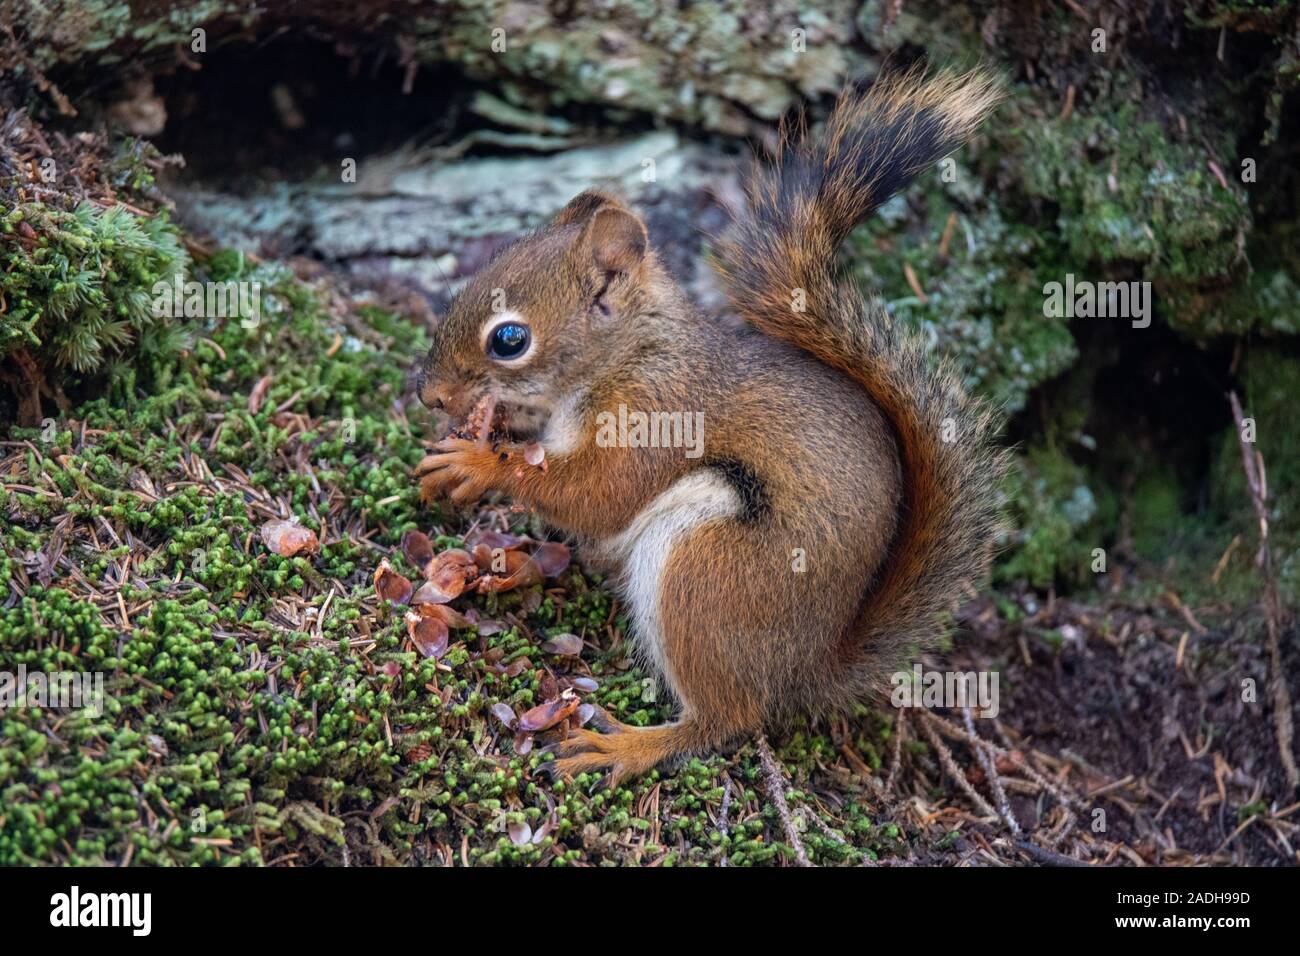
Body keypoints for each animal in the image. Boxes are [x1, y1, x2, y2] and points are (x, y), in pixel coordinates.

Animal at [415, 70, 1008, 783]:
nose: (427, 394)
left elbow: (595, 495)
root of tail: (808, 671)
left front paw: (477, 465)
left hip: (708, 572)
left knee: (728, 718)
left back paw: (631, 746)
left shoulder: (657, 417)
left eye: (509, 339)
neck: (628, 355)